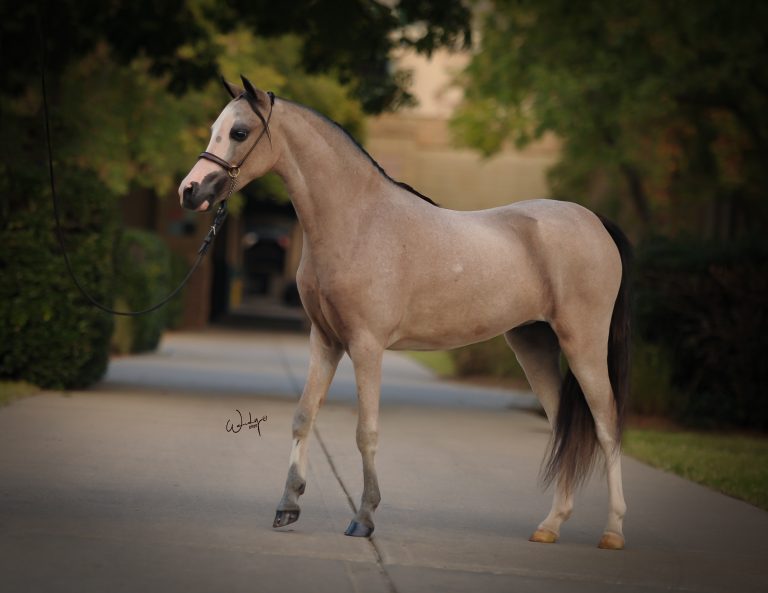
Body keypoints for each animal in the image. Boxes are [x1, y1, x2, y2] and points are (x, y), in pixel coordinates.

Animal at [179, 75, 632, 550]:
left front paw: (364, 517)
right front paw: (288, 506)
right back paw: (550, 525)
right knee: (563, 424)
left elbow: (366, 432)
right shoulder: (325, 340)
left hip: (583, 343)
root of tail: (594, 222)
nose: (189, 191)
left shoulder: (366, 346)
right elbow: (304, 417)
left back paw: (613, 531)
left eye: (239, 132)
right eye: (215, 128)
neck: (358, 220)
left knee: (606, 424)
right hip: (534, 344)